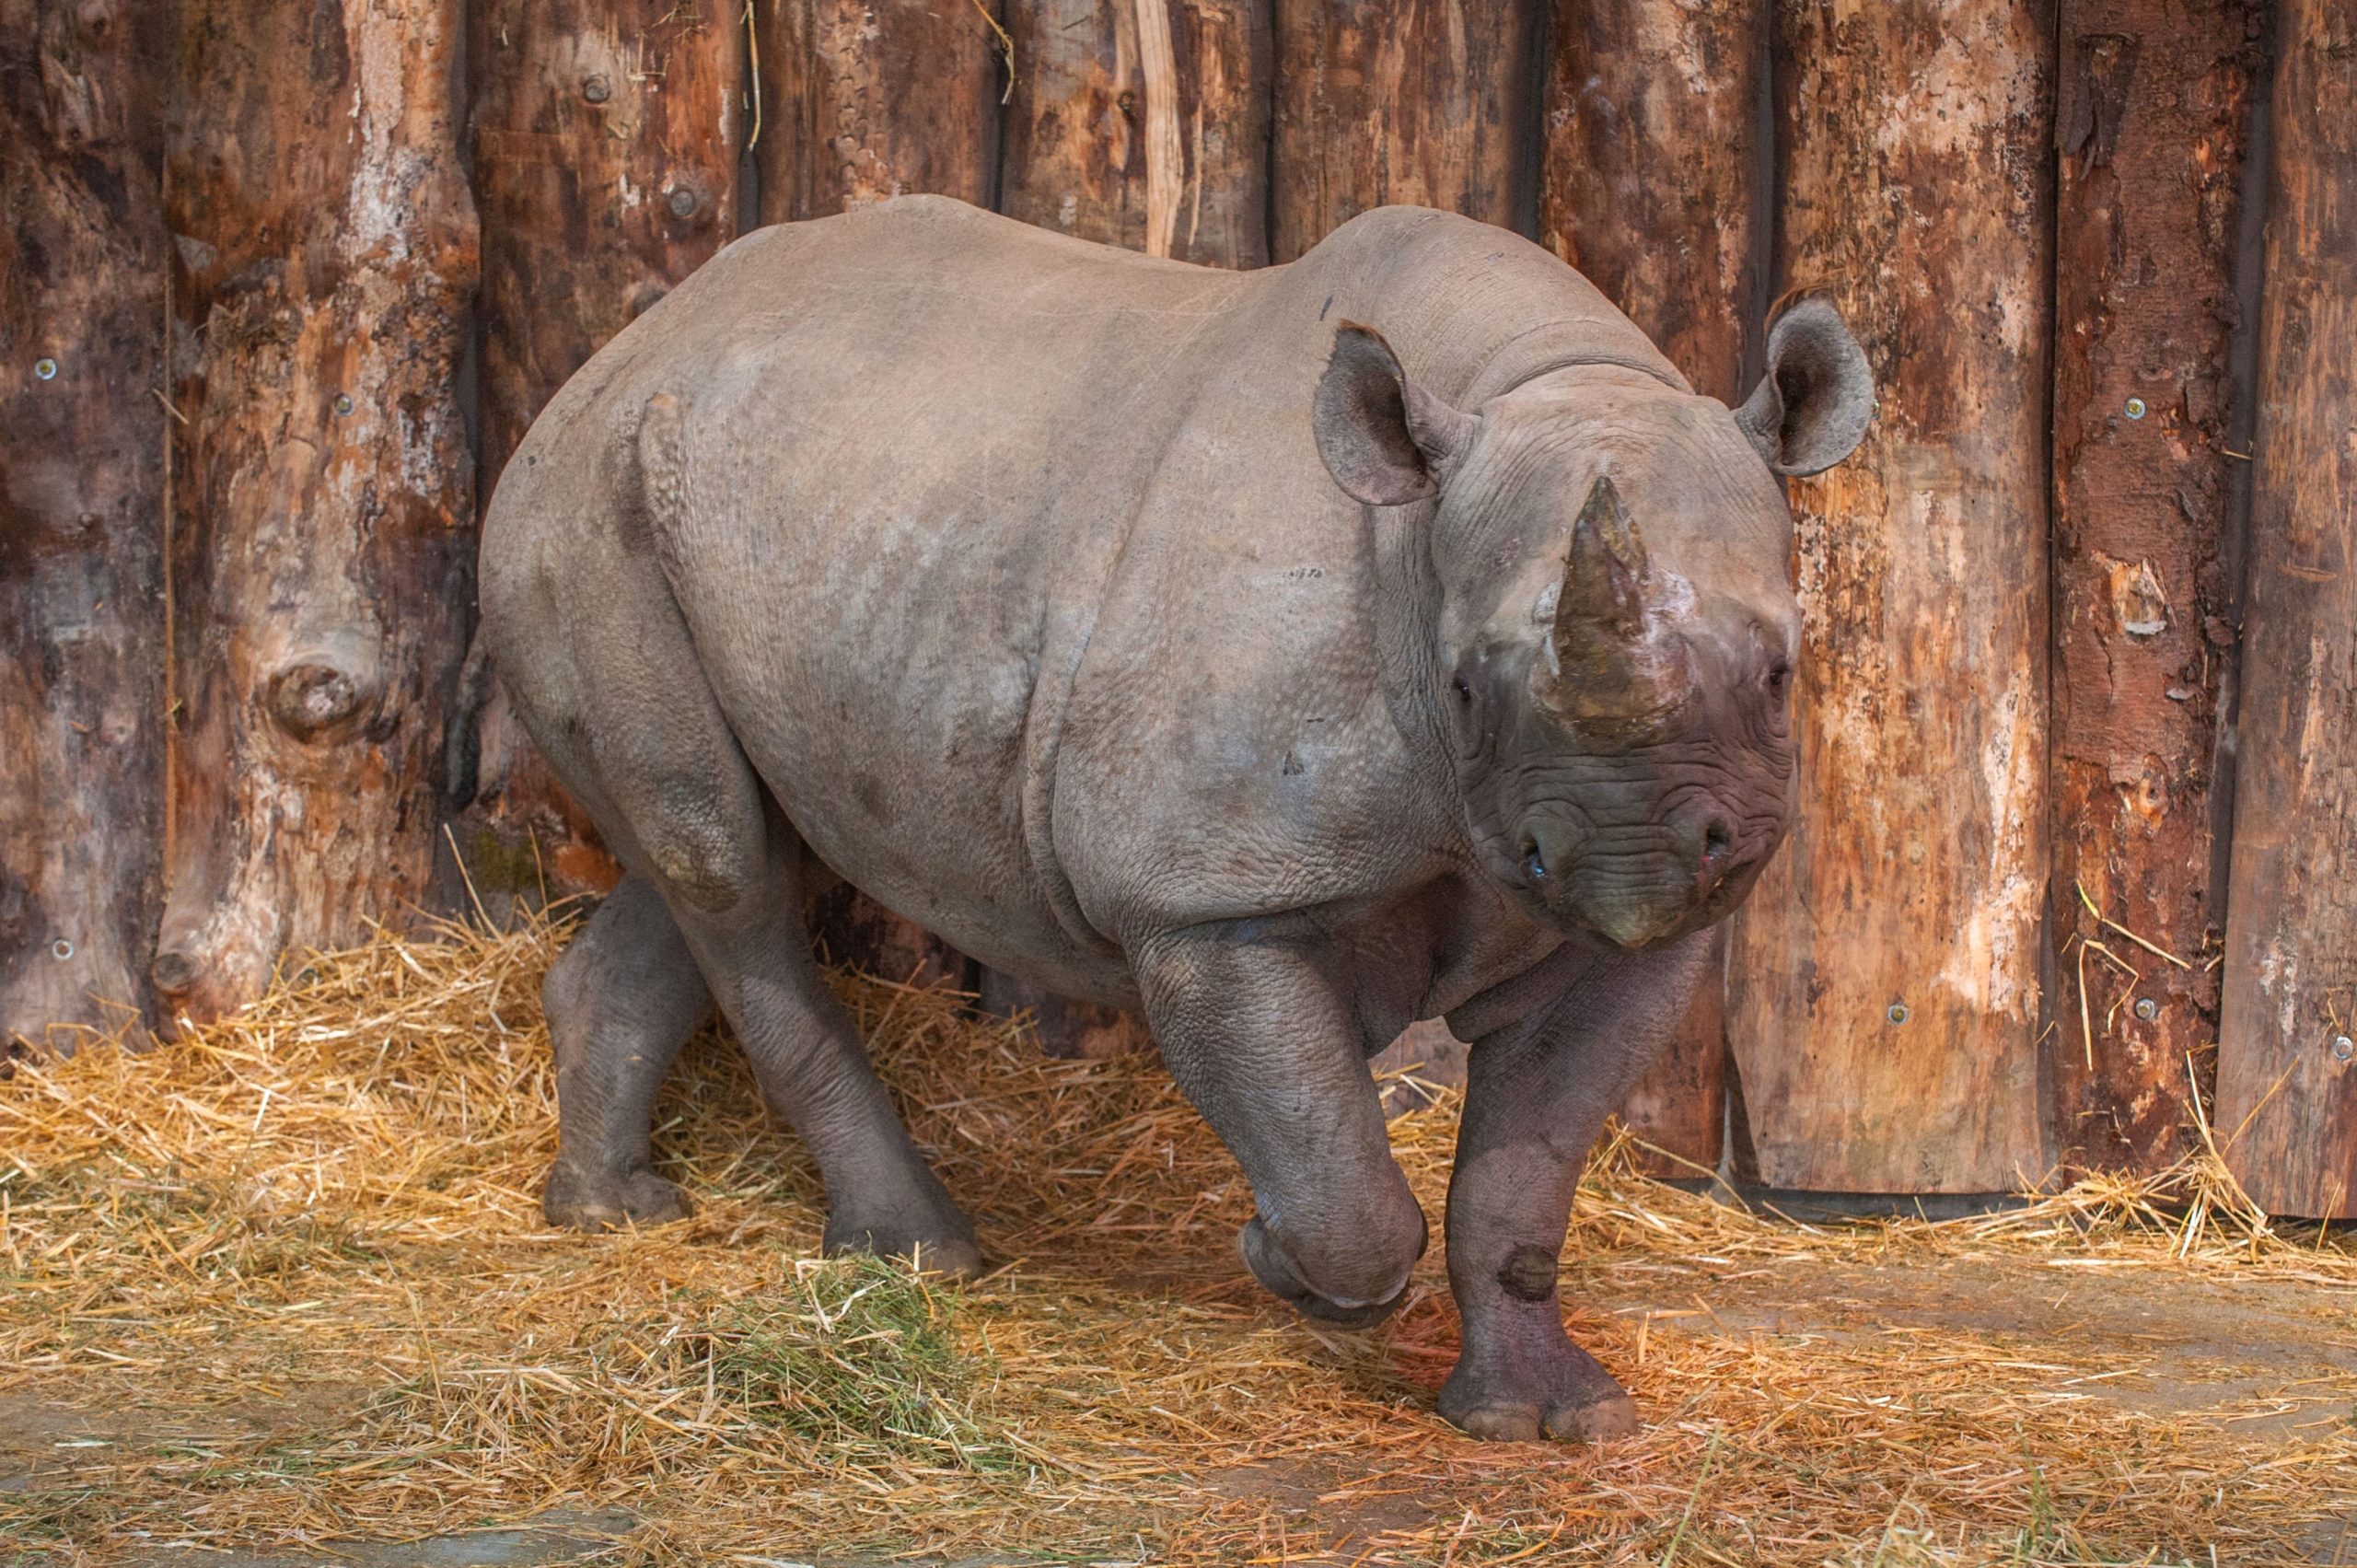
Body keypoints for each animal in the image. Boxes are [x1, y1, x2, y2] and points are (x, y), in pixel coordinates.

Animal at [477, 196, 1870, 1442]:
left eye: (1781, 672)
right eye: (1468, 684)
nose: (1634, 871)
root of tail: (621, 350)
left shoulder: (1640, 938)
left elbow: (1521, 1185)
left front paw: (1549, 1418)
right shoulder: (1205, 897)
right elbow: (1342, 1182)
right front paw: (1292, 1269)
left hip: (729, 505)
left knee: (748, 845)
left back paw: (611, 1210)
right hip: (591, 510)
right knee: (730, 867)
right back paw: (921, 1255)